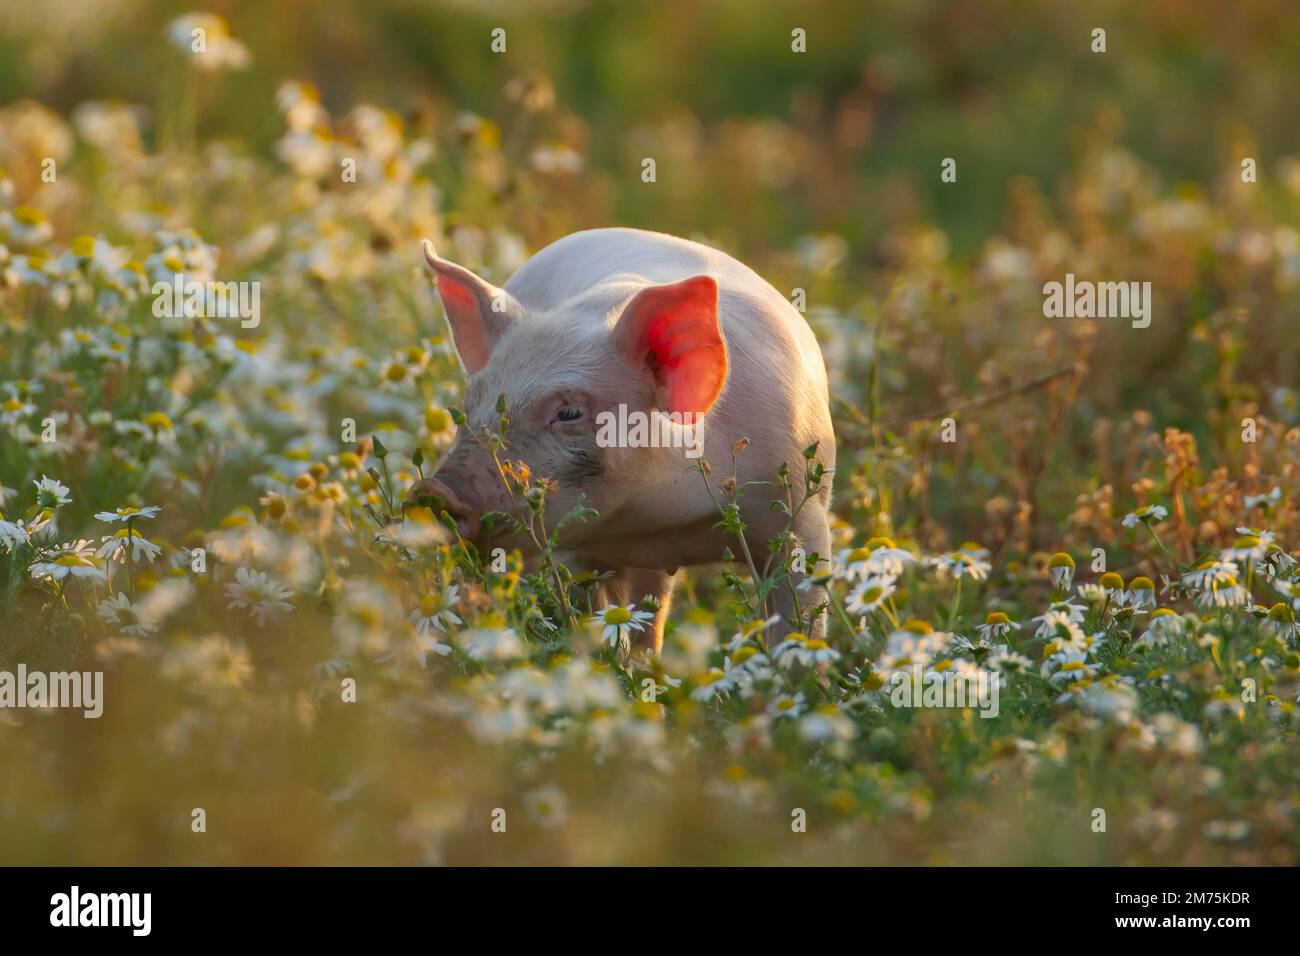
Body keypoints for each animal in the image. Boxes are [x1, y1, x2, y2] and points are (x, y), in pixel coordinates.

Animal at [408, 227, 835, 653]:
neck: (660, 516)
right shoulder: (574, 548)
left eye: (569, 412)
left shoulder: (800, 510)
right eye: (470, 403)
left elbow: (799, 613)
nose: (435, 490)